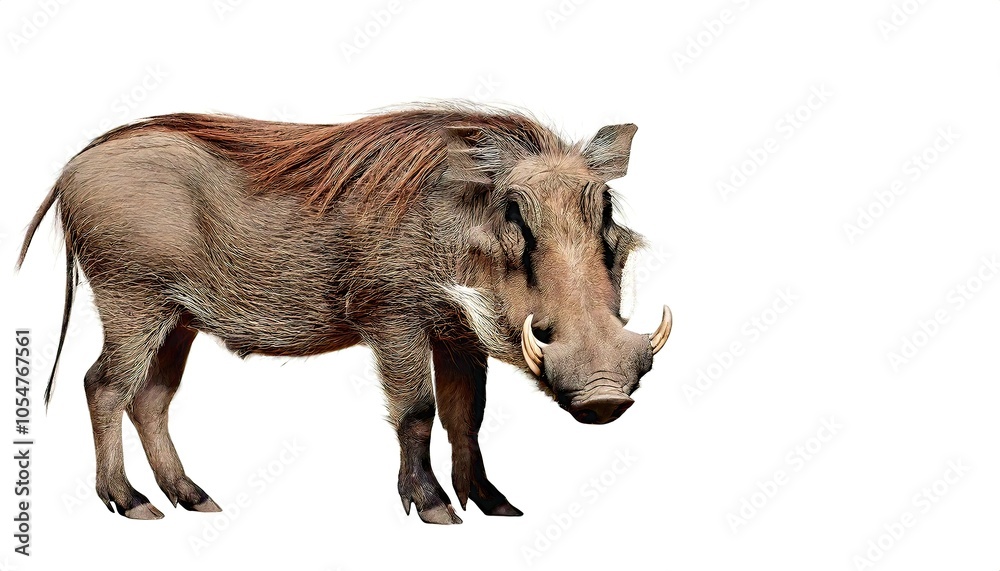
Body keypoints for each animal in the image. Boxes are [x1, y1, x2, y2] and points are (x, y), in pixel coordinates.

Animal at [17, 104, 672, 524]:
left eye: (605, 211)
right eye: (513, 213)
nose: (605, 396)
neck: (457, 225)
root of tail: (73, 166)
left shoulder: (459, 333)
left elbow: (467, 417)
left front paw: (495, 505)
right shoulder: (392, 318)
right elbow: (417, 412)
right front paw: (435, 509)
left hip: (177, 319)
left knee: (150, 399)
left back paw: (193, 498)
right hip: (131, 298)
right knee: (103, 386)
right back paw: (131, 504)